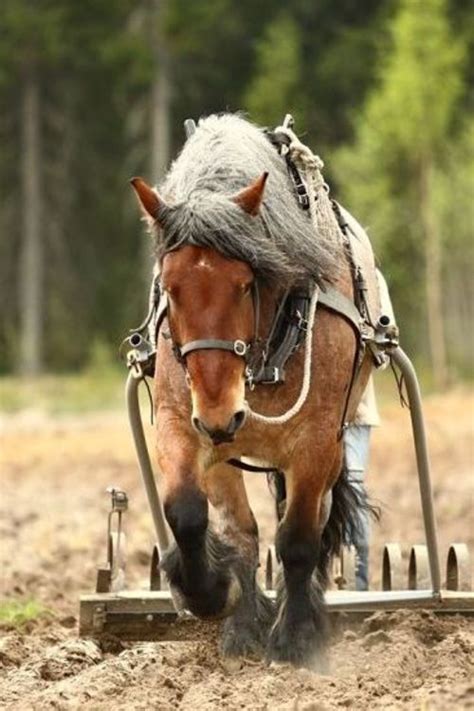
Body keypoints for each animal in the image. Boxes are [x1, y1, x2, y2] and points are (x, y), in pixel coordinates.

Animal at [130, 114, 379, 666]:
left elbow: (299, 541)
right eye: (169, 288)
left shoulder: (316, 442)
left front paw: (294, 640)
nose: (221, 415)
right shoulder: (183, 424)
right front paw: (211, 594)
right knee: (242, 529)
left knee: (311, 524)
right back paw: (243, 624)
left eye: (246, 284)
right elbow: (190, 513)